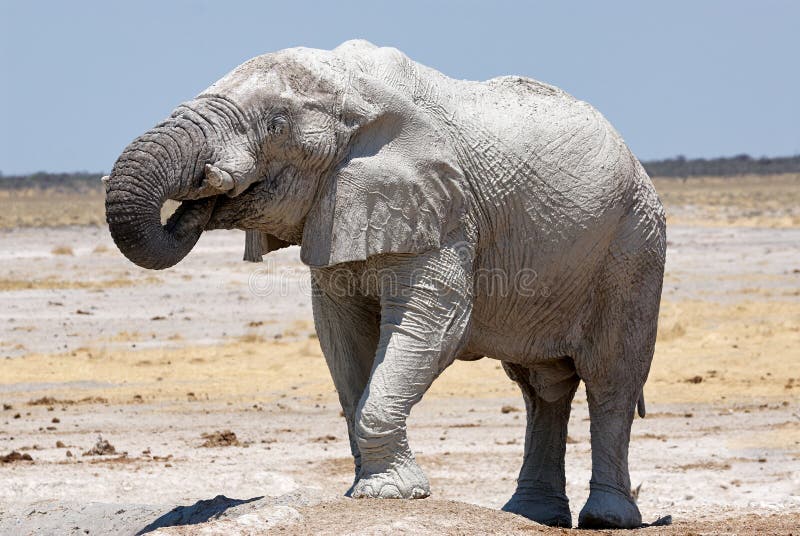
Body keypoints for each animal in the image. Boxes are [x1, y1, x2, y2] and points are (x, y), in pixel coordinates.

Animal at [104, 40, 666, 529]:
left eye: (276, 124)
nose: (203, 193)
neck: (354, 93)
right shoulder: (337, 211)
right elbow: (340, 333)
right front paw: (366, 491)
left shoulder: (446, 210)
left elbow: (432, 324)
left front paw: (390, 495)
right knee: (541, 387)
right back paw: (530, 517)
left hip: (634, 246)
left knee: (610, 380)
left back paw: (606, 520)